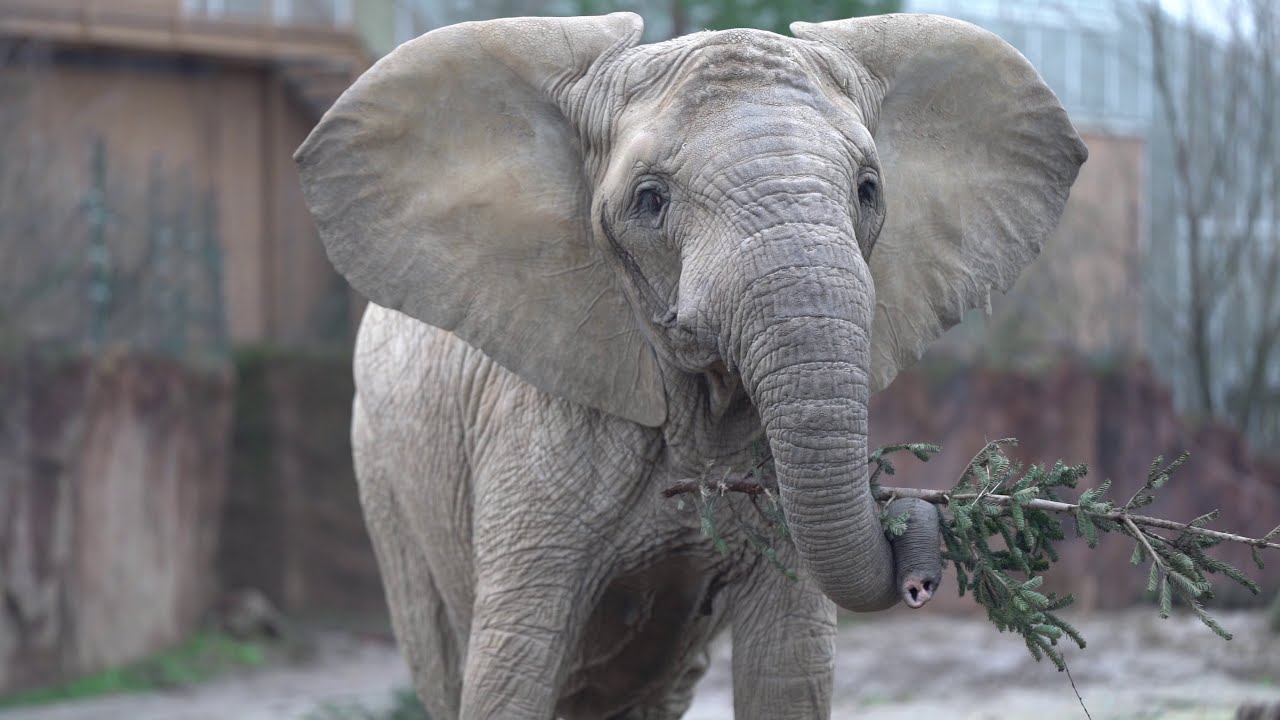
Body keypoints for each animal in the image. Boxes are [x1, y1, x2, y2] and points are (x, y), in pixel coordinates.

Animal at [295, 11, 1086, 719]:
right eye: (650, 202)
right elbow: (510, 674)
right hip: (385, 478)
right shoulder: (530, 439)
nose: (920, 553)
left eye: (868, 189)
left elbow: (789, 673)